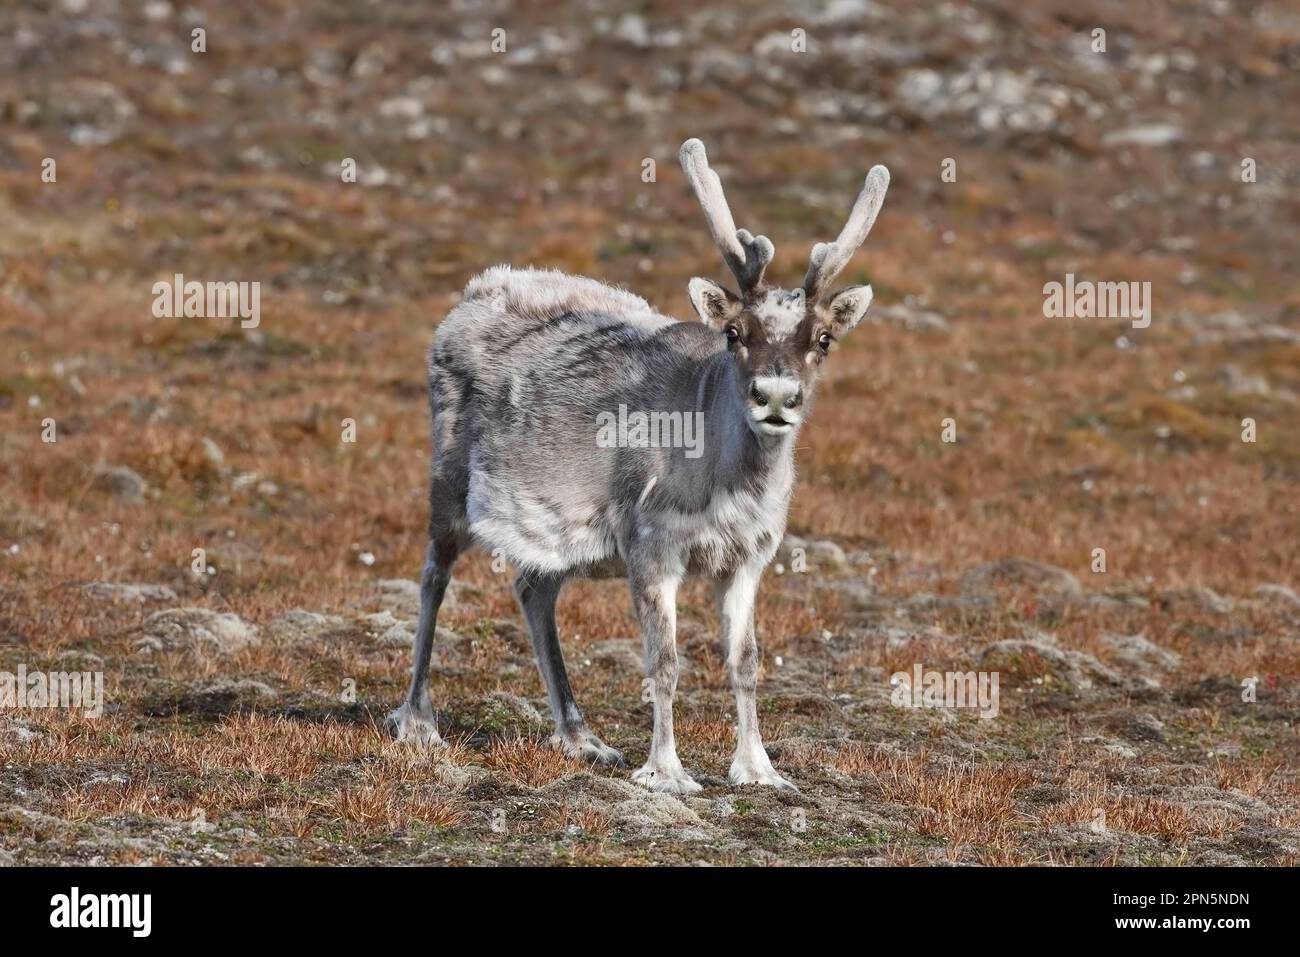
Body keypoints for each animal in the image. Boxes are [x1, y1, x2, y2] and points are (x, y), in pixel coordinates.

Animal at [387, 139, 889, 794]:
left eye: (824, 338)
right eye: (735, 331)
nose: (775, 397)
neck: (730, 485)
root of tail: (472, 292)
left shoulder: (751, 556)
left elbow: (747, 660)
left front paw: (758, 768)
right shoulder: (652, 546)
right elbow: (664, 661)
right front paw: (667, 771)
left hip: (558, 532)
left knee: (533, 588)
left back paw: (580, 737)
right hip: (447, 482)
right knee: (433, 577)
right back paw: (417, 720)